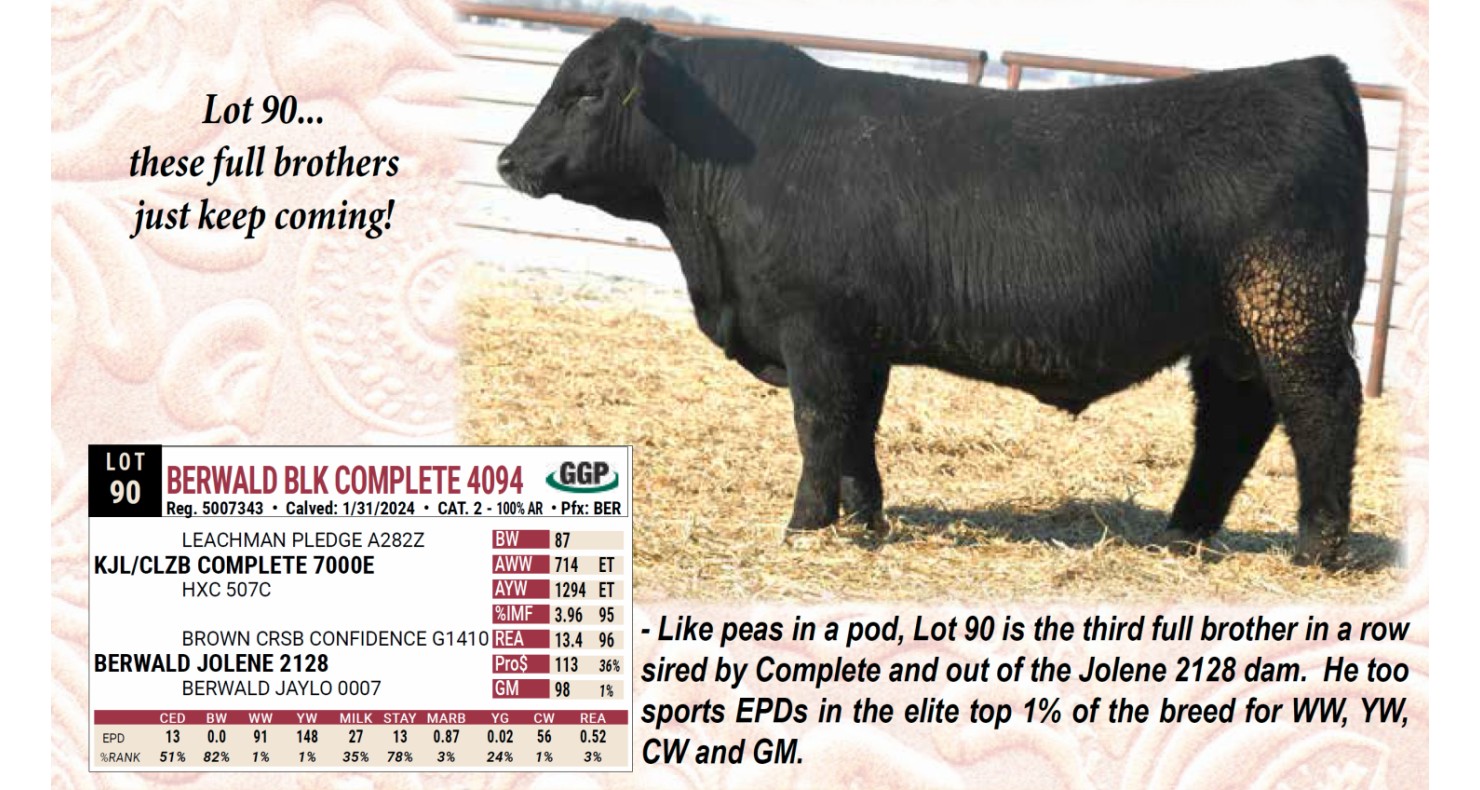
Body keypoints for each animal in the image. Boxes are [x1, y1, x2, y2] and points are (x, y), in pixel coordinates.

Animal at [497, 19, 1369, 567]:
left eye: (588, 91)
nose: (508, 161)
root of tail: (1309, 74)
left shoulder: (814, 330)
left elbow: (818, 426)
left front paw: (803, 526)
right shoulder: (859, 342)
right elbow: (857, 432)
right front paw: (863, 521)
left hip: (1292, 310)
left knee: (1321, 408)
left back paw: (1316, 548)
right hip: (1231, 334)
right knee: (1232, 424)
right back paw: (1182, 534)